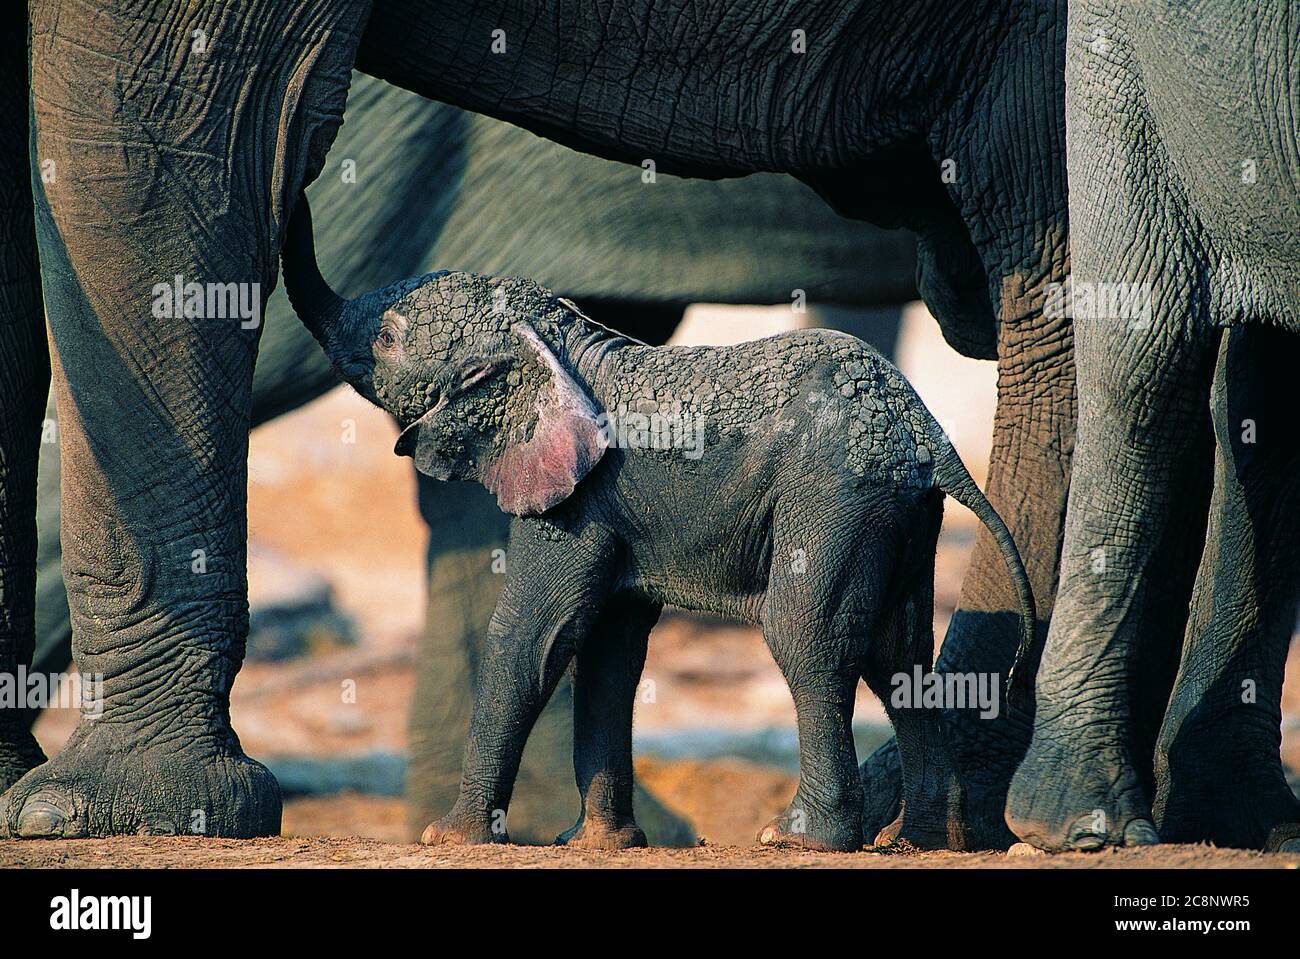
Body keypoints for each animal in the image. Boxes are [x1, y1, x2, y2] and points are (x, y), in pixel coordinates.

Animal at [278, 195, 1037, 851]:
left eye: (388, 338)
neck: (558, 339)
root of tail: (928, 432)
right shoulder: (612, 509)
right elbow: (609, 650)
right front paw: (596, 843)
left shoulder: (576, 500)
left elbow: (534, 635)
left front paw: (450, 837)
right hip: (896, 511)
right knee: (900, 652)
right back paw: (922, 840)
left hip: (835, 497)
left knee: (807, 638)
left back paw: (799, 838)